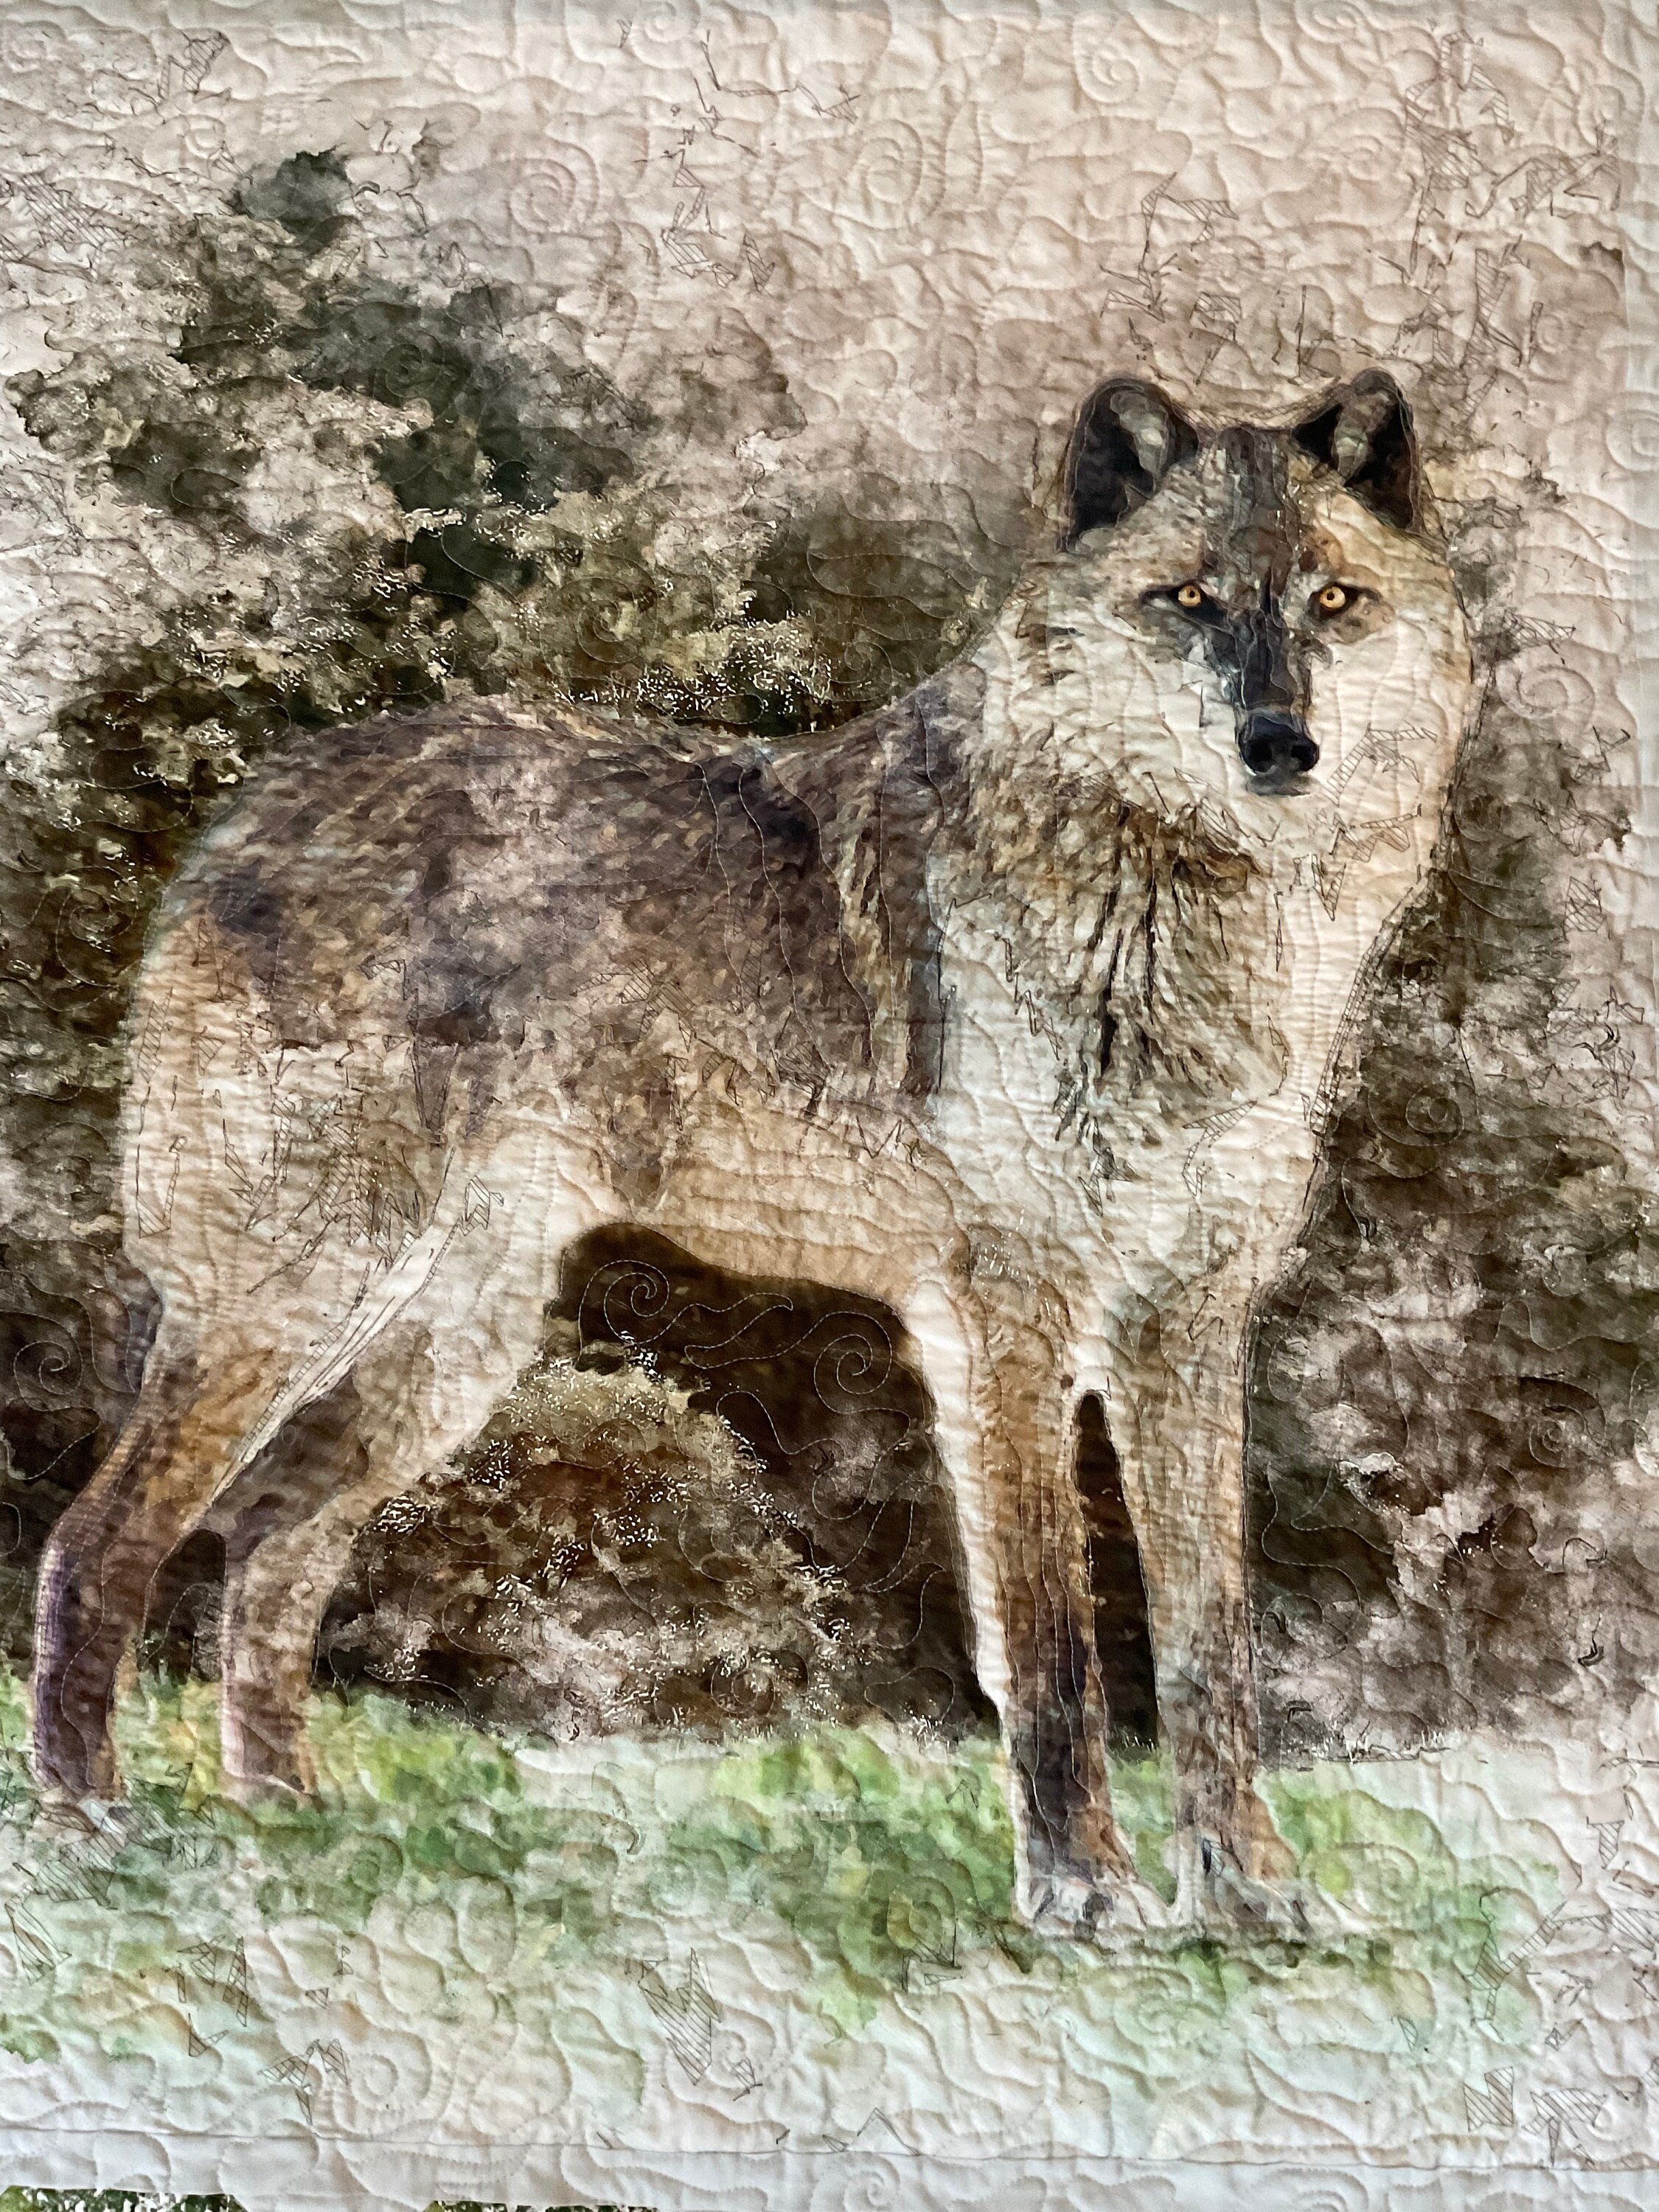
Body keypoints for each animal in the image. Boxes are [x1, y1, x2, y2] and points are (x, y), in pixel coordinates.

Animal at [31, 368, 1473, 1930]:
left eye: (1333, 601)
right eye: (1191, 599)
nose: (1281, 747)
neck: (1176, 913)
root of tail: (253, 801)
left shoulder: (1187, 1333)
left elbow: (1211, 1649)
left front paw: (1253, 1899)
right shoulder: (1003, 1329)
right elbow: (1055, 1648)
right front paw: (1085, 1893)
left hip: (448, 1349)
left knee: (268, 1538)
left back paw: (291, 1823)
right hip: (296, 1303)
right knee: (96, 1542)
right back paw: (90, 1820)